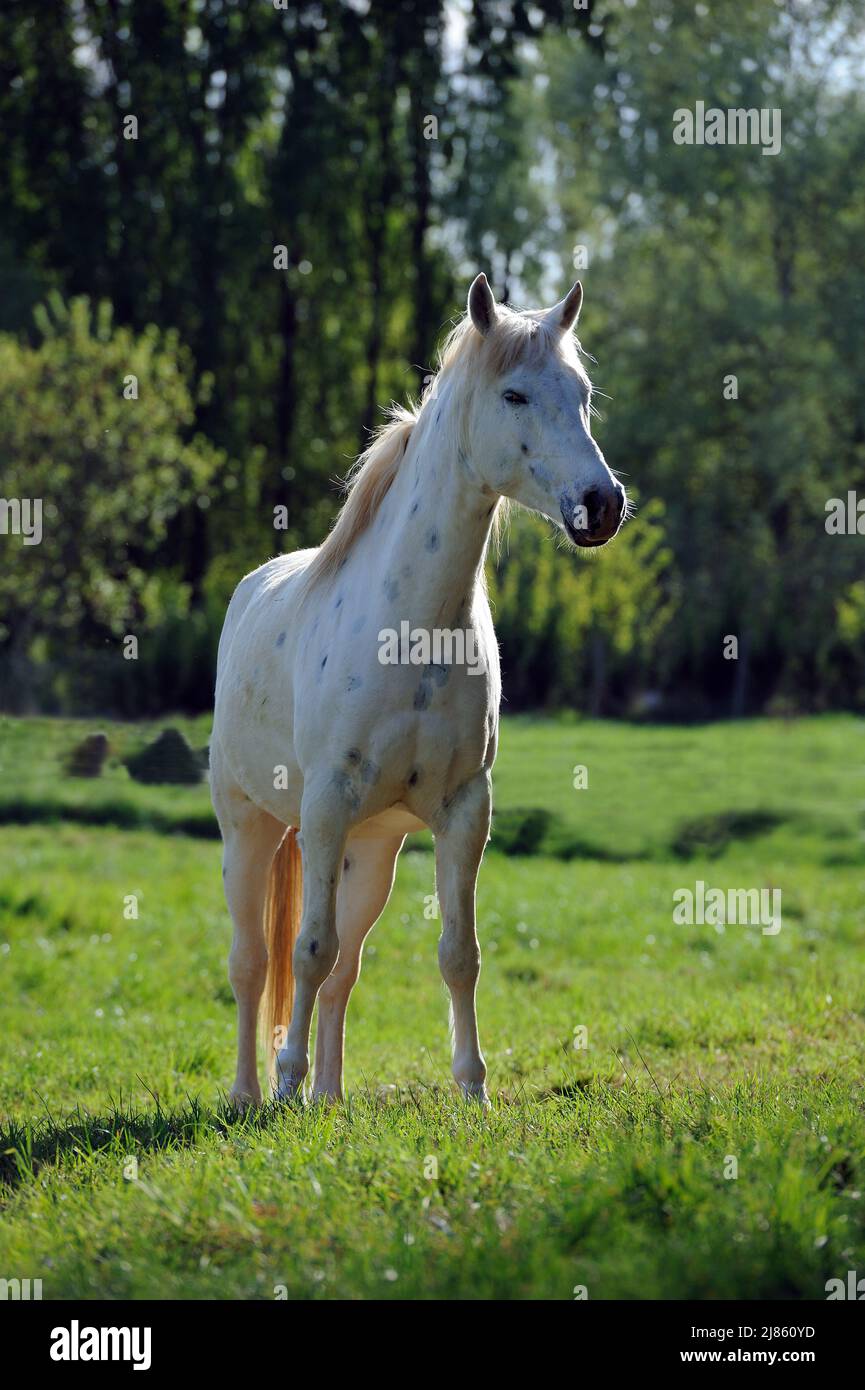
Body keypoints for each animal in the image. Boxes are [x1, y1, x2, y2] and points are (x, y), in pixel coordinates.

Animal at [210, 273, 627, 1107]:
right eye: (513, 395)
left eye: (582, 394)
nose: (601, 506)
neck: (412, 633)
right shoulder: (325, 806)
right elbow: (304, 950)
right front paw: (284, 1081)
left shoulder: (463, 810)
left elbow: (455, 953)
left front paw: (473, 1088)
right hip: (251, 830)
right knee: (253, 964)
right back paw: (250, 1093)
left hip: (371, 852)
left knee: (344, 971)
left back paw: (330, 1097)